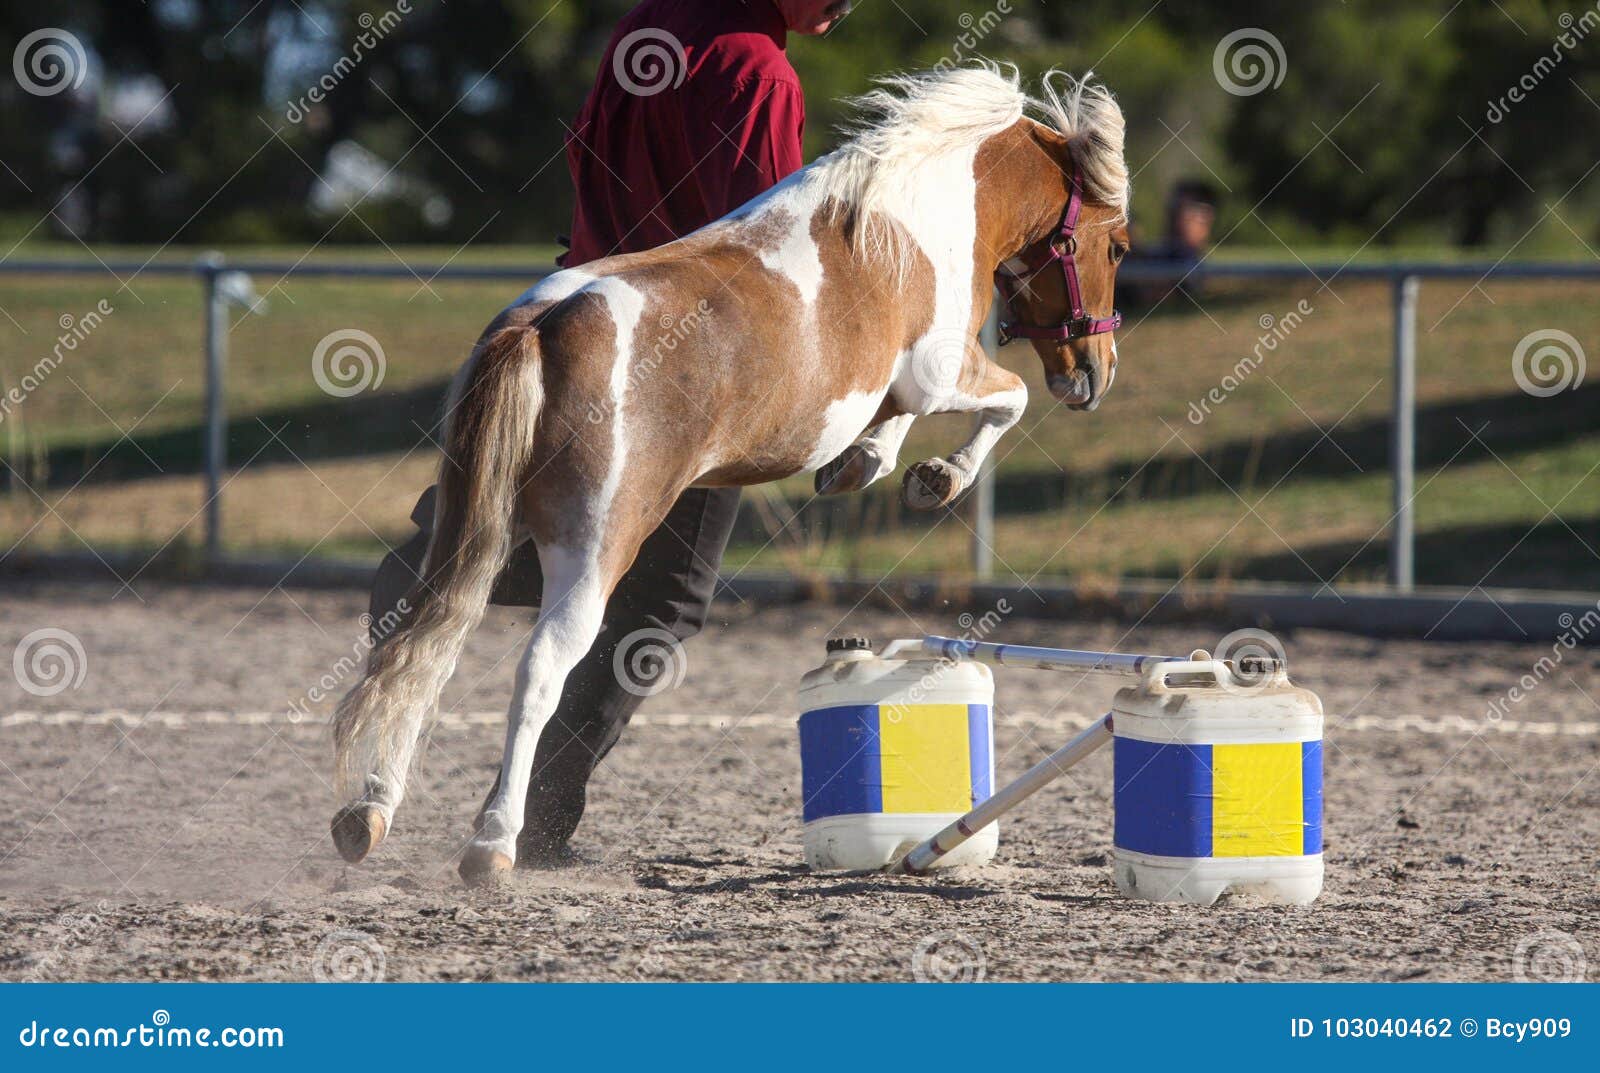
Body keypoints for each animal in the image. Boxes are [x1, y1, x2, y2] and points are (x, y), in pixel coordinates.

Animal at [330, 63, 1132, 885]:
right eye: (1119, 248)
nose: (1093, 373)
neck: (911, 218)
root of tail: (542, 328)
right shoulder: (940, 373)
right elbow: (1009, 399)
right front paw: (935, 476)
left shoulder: (905, 386)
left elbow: (893, 429)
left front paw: (866, 464)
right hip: (594, 547)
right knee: (540, 668)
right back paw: (492, 844)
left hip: (491, 528)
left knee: (424, 630)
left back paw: (369, 811)